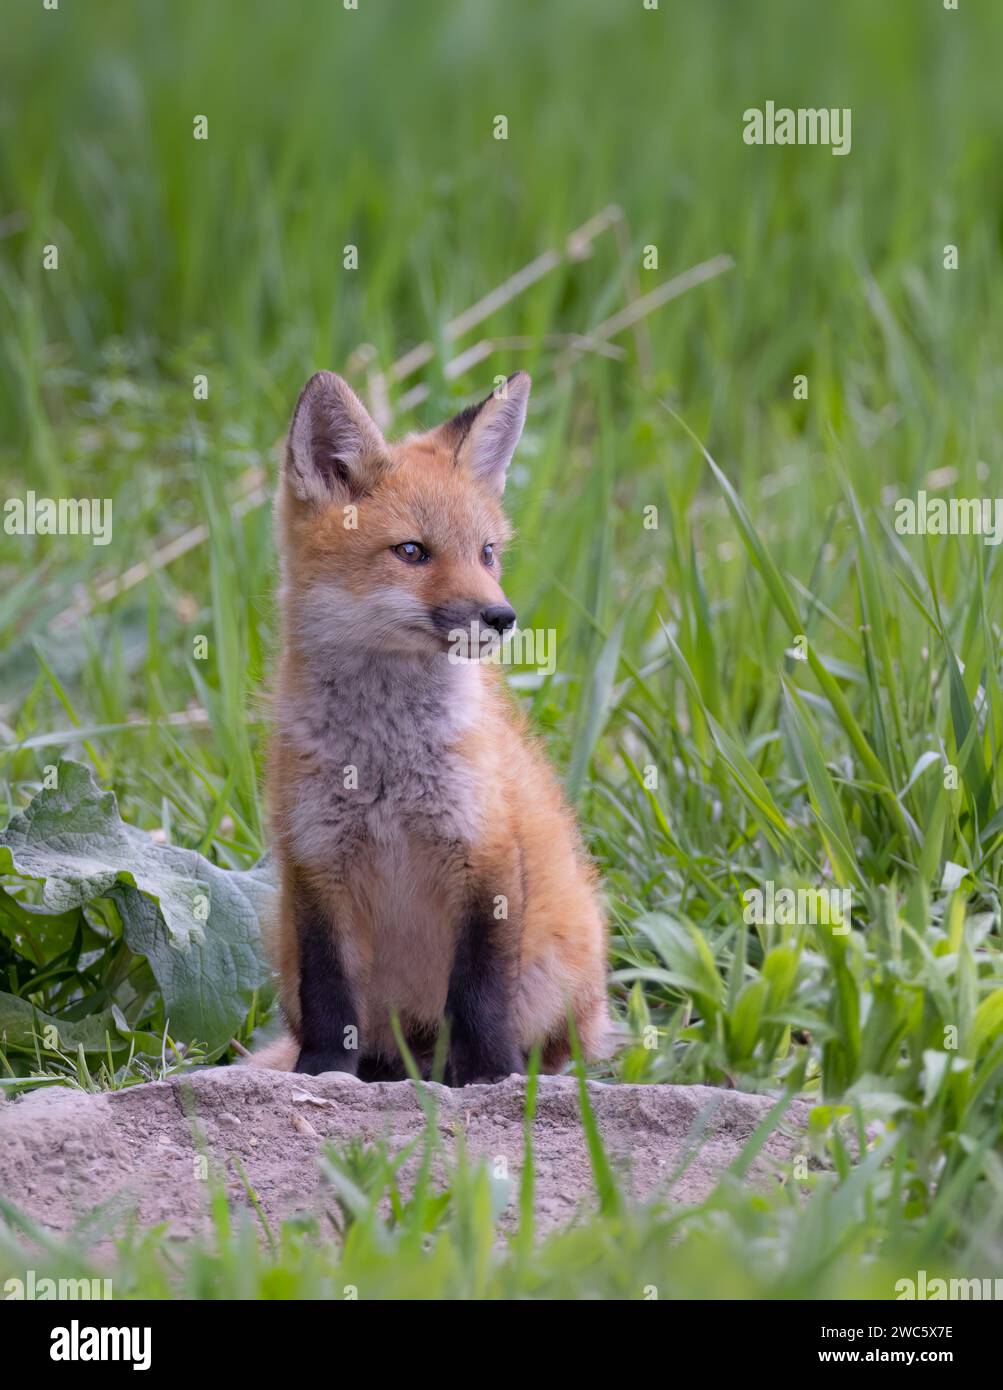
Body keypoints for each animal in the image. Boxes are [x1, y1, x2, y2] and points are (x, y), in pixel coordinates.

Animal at [253, 368, 609, 1084]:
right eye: (412, 551)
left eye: (488, 552)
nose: (502, 617)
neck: (385, 763)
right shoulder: (315, 864)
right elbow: (329, 993)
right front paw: (323, 1071)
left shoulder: (486, 855)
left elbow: (480, 989)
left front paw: (493, 1076)